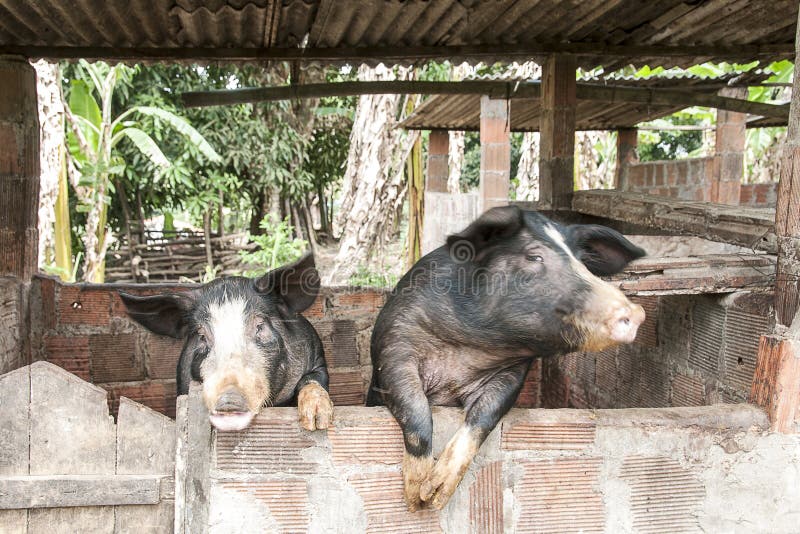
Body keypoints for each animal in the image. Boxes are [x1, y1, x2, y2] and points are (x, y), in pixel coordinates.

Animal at [119, 253, 333, 432]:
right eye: (201, 335)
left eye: (260, 326)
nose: (229, 400)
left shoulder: (317, 358)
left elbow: (312, 381)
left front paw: (317, 421)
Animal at [367, 206, 646, 511]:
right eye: (534, 256)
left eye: (582, 262)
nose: (636, 313)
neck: (474, 345)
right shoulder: (394, 344)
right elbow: (414, 405)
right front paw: (417, 498)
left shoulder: (512, 373)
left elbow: (486, 415)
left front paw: (436, 494)